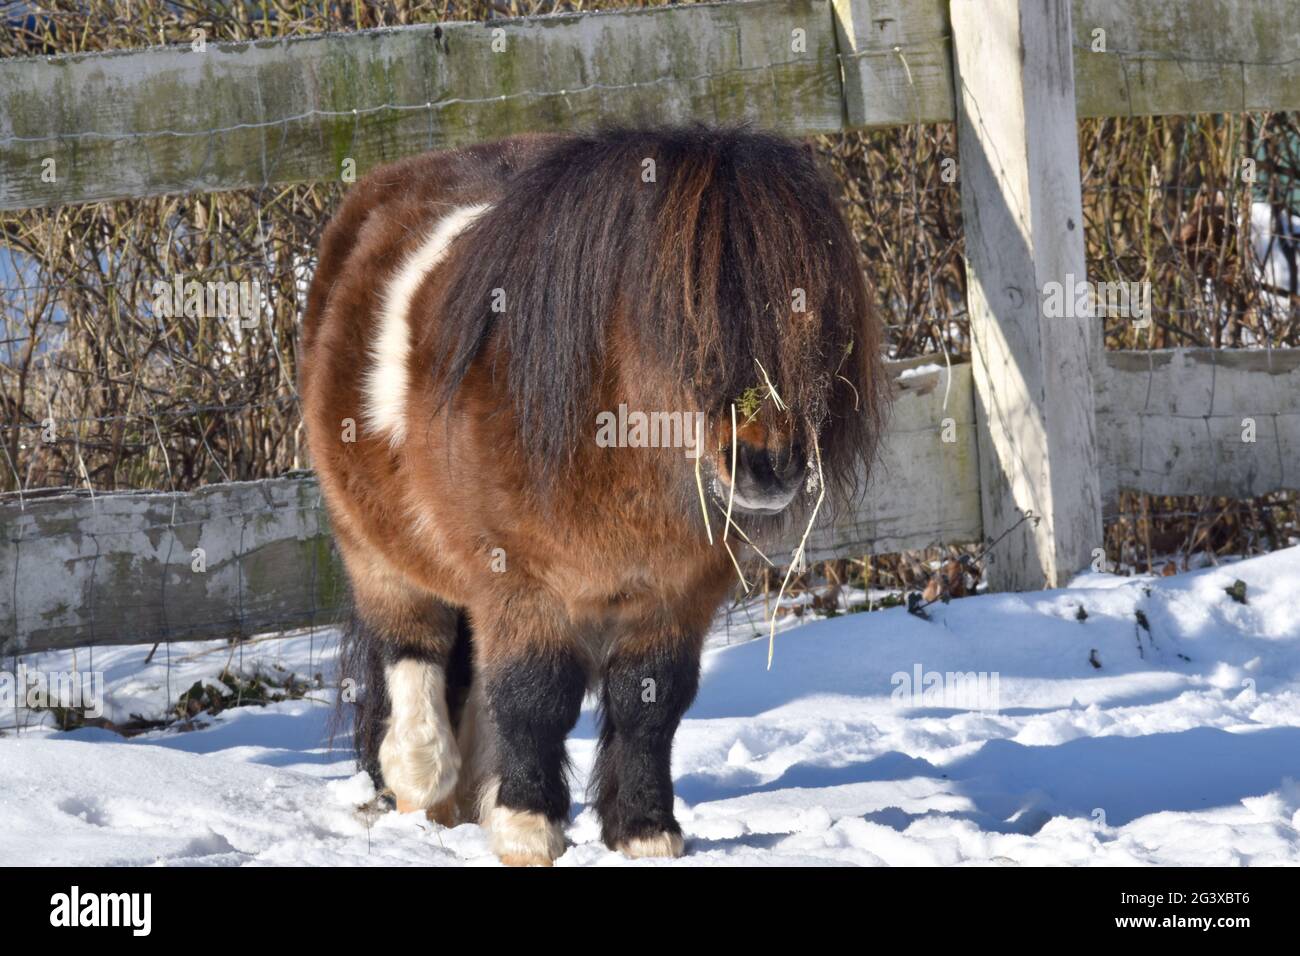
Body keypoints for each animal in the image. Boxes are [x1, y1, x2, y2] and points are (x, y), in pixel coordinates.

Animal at [300, 126, 886, 865]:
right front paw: (529, 828)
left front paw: (643, 829)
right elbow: (534, 696)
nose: (767, 466)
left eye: (810, 314)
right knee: (416, 666)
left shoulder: (675, 596)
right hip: (380, 561)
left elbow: (649, 703)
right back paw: (425, 793)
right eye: (686, 315)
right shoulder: (522, 586)